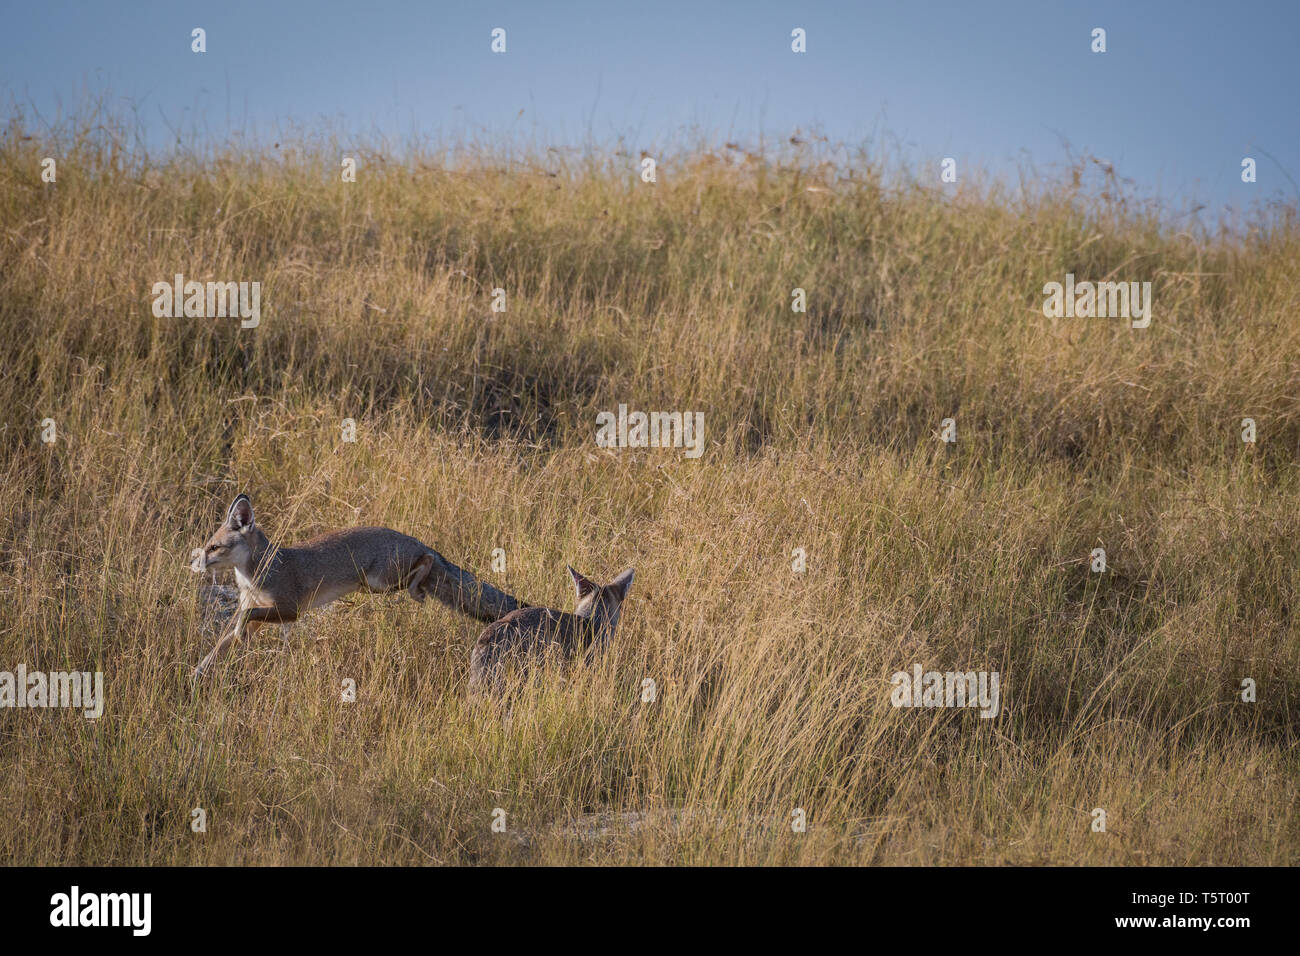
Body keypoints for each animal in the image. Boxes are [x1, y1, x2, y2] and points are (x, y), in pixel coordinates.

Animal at [192, 493, 524, 678]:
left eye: (214, 547)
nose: (195, 562)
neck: (253, 577)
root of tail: (414, 539)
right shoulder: (258, 611)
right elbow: (225, 641)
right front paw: (199, 671)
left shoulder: (289, 610)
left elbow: (242, 619)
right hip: (375, 586)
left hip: (381, 581)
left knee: (427, 561)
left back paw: (418, 588)